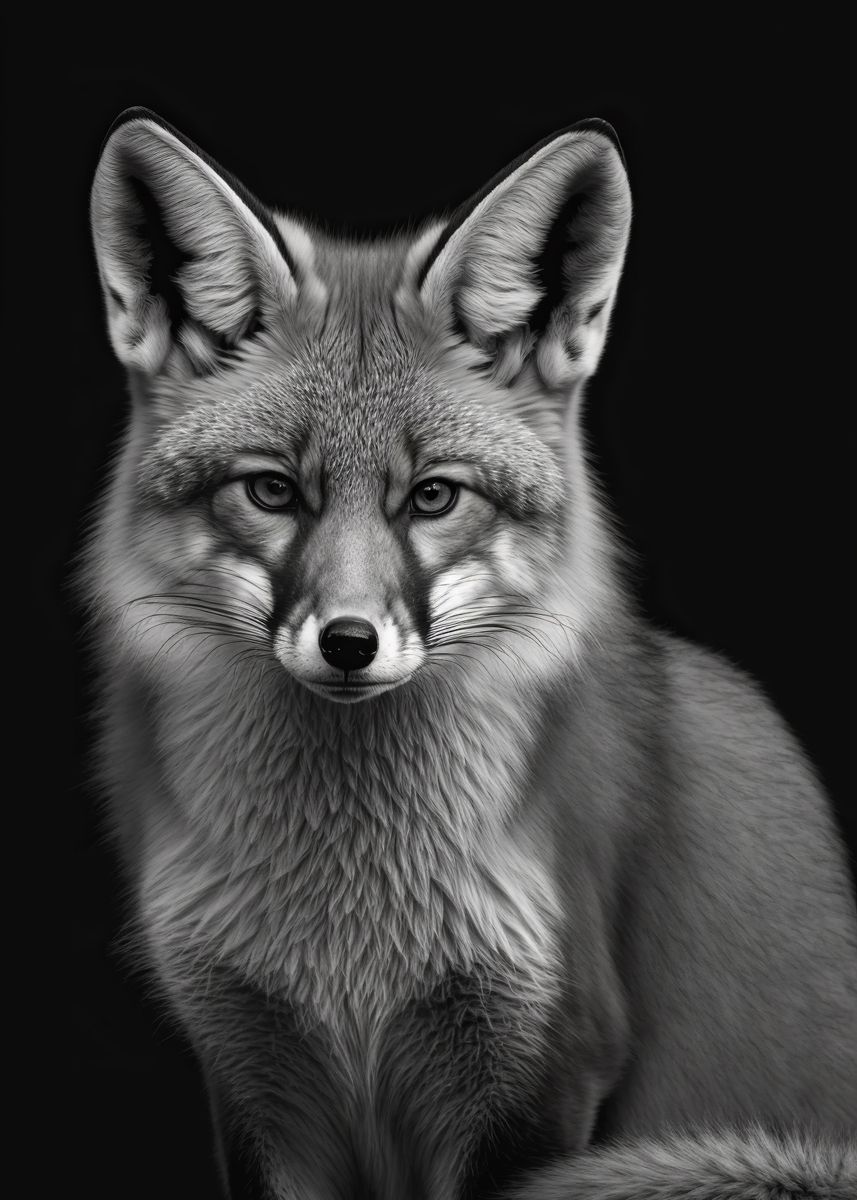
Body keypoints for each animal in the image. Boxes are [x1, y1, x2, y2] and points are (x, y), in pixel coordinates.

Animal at [83, 107, 857, 1200]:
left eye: (433, 497)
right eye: (272, 491)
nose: (349, 642)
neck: (348, 934)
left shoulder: (546, 1061)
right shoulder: (250, 1077)